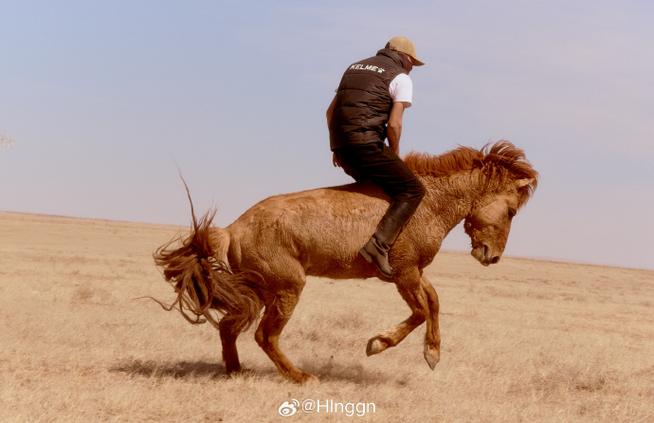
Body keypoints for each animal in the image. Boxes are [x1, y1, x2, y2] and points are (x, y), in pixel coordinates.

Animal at [153, 140, 538, 383]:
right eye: (511, 210)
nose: (492, 256)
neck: (427, 201)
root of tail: (232, 230)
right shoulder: (403, 273)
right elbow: (420, 311)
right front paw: (378, 344)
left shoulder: (414, 272)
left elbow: (434, 303)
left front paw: (432, 354)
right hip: (287, 289)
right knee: (265, 336)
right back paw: (300, 377)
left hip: (261, 290)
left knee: (229, 327)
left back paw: (235, 372)